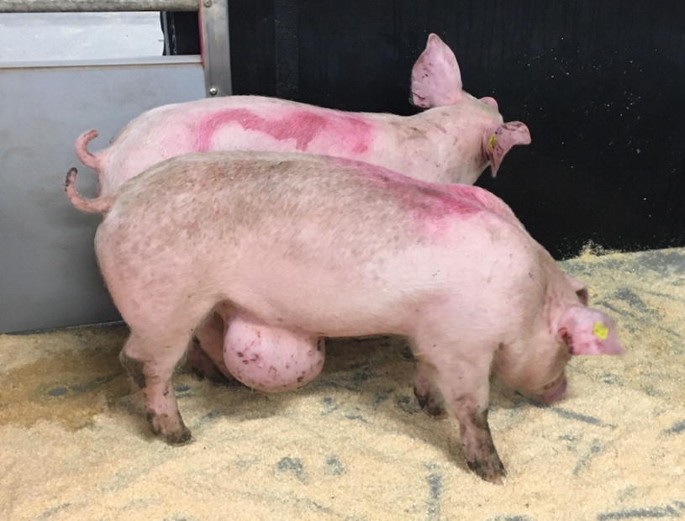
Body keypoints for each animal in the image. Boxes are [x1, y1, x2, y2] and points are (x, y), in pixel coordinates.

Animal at [64, 151, 622, 483]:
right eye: (568, 347)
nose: (561, 392)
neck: (526, 299)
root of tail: (118, 197)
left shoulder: (431, 335)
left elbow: (425, 371)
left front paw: (428, 408)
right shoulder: (464, 343)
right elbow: (473, 408)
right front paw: (496, 473)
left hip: (194, 305)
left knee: (191, 347)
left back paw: (218, 384)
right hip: (162, 305)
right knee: (141, 363)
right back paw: (179, 435)